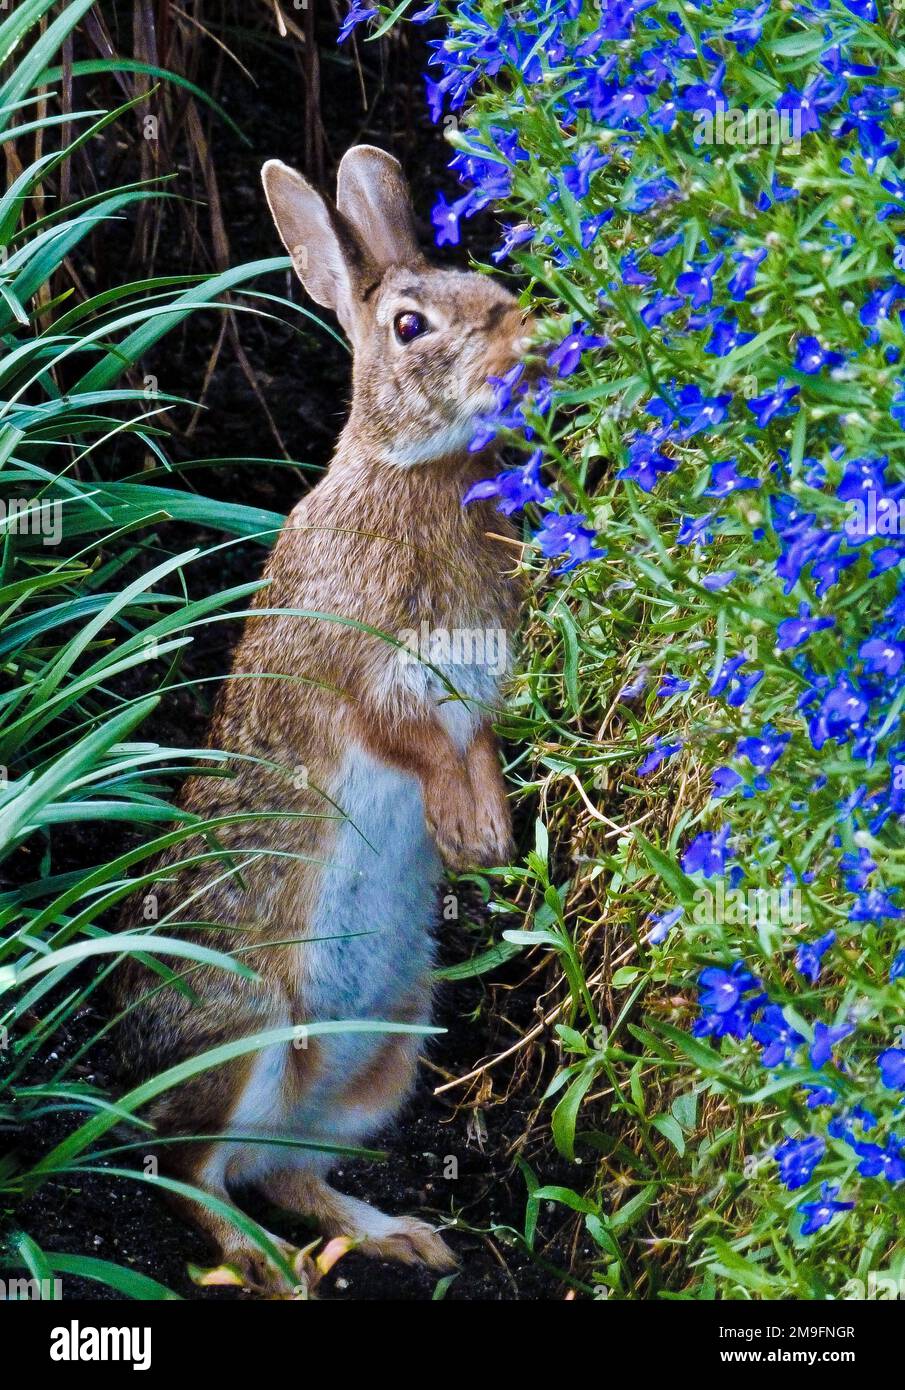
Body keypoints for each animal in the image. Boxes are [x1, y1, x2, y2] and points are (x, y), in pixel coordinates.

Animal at [113, 145, 531, 1292]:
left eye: (484, 281)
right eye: (409, 325)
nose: (529, 339)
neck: (411, 472)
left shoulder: (481, 686)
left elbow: (477, 746)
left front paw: (487, 837)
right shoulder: (361, 676)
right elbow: (413, 745)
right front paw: (466, 832)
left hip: (390, 1041)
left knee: (287, 1173)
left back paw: (398, 1235)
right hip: (251, 1030)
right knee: (195, 1178)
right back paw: (265, 1265)